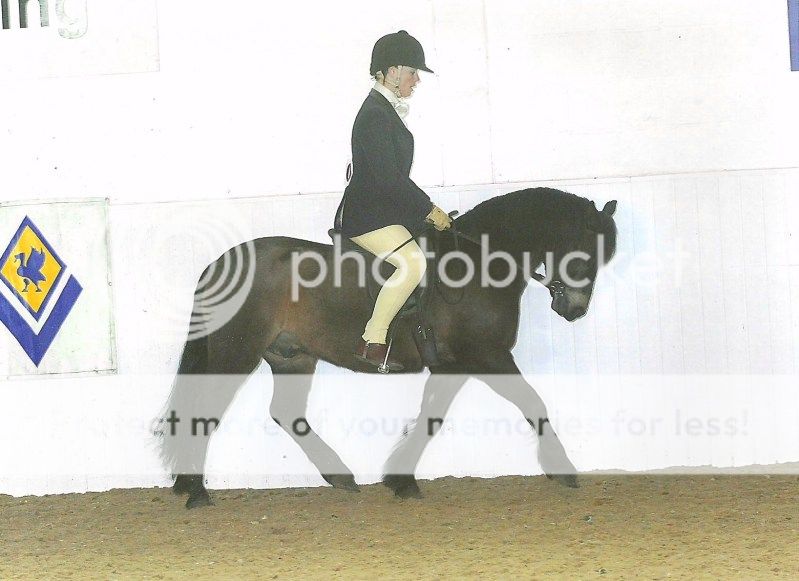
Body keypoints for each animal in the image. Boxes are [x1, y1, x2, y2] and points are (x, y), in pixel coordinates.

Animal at [158, 187, 618, 508]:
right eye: (586, 253)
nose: (574, 310)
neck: (480, 263)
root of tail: (220, 264)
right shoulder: (488, 356)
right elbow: (533, 403)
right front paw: (564, 470)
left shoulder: (453, 365)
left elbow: (431, 416)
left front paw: (401, 480)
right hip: (237, 354)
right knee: (204, 412)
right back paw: (197, 492)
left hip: (292, 357)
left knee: (286, 414)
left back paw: (341, 477)